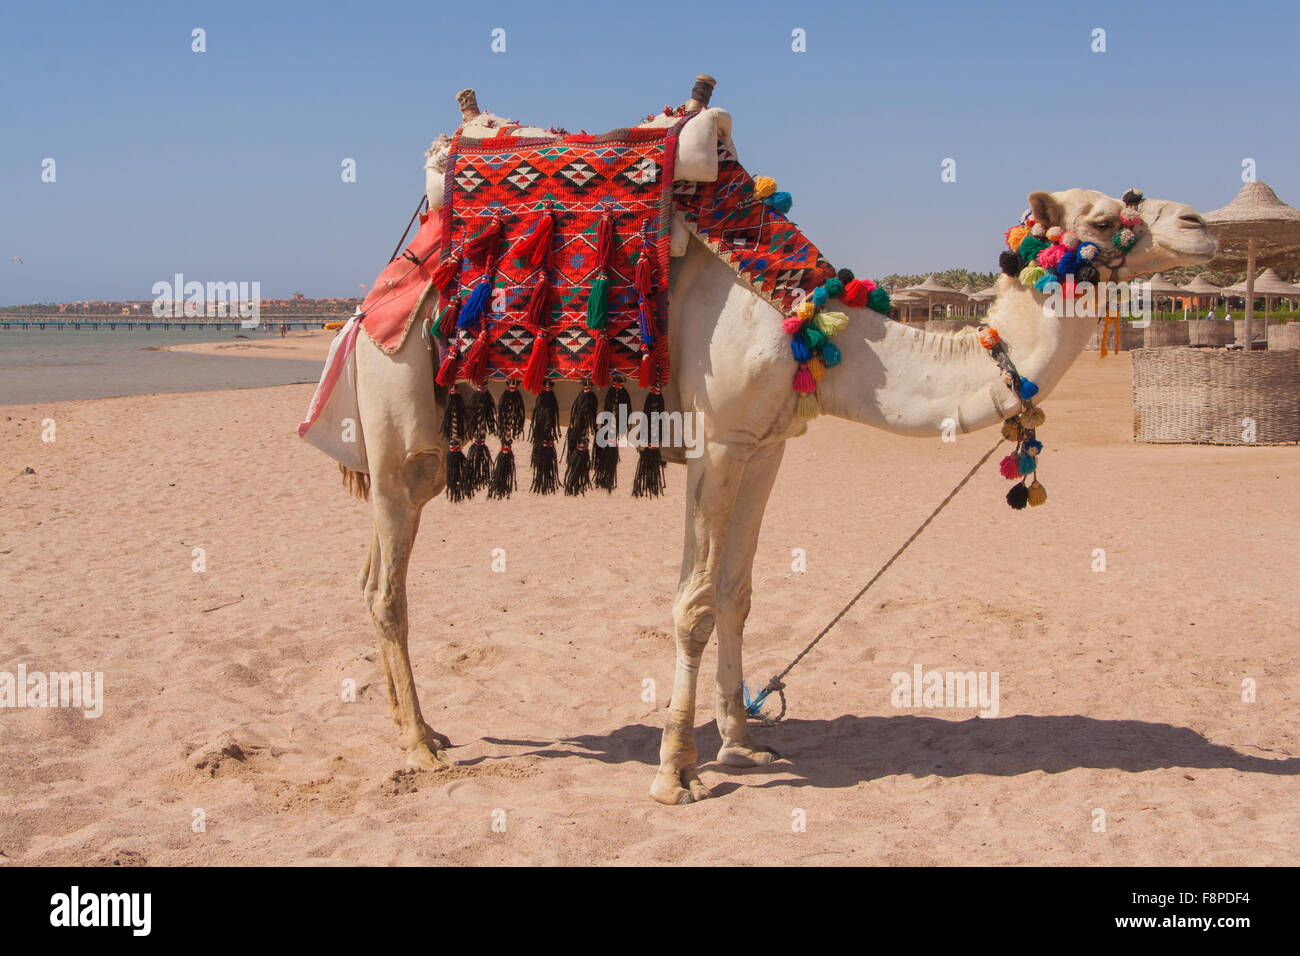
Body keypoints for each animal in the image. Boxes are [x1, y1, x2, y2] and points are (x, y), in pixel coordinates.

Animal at [340, 107, 1217, 805]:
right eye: (1100, 218)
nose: (1200, 224)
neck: (817, 332)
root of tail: (371, 298)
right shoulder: (720, 442)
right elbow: (692, 606)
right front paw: (676, 772)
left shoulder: (766, 448)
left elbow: (737, 592)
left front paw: (743, 740)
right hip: (396, 411)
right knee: (385, 586)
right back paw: (419, 747)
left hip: (416, 446)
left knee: (381, 568)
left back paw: (430, 731)